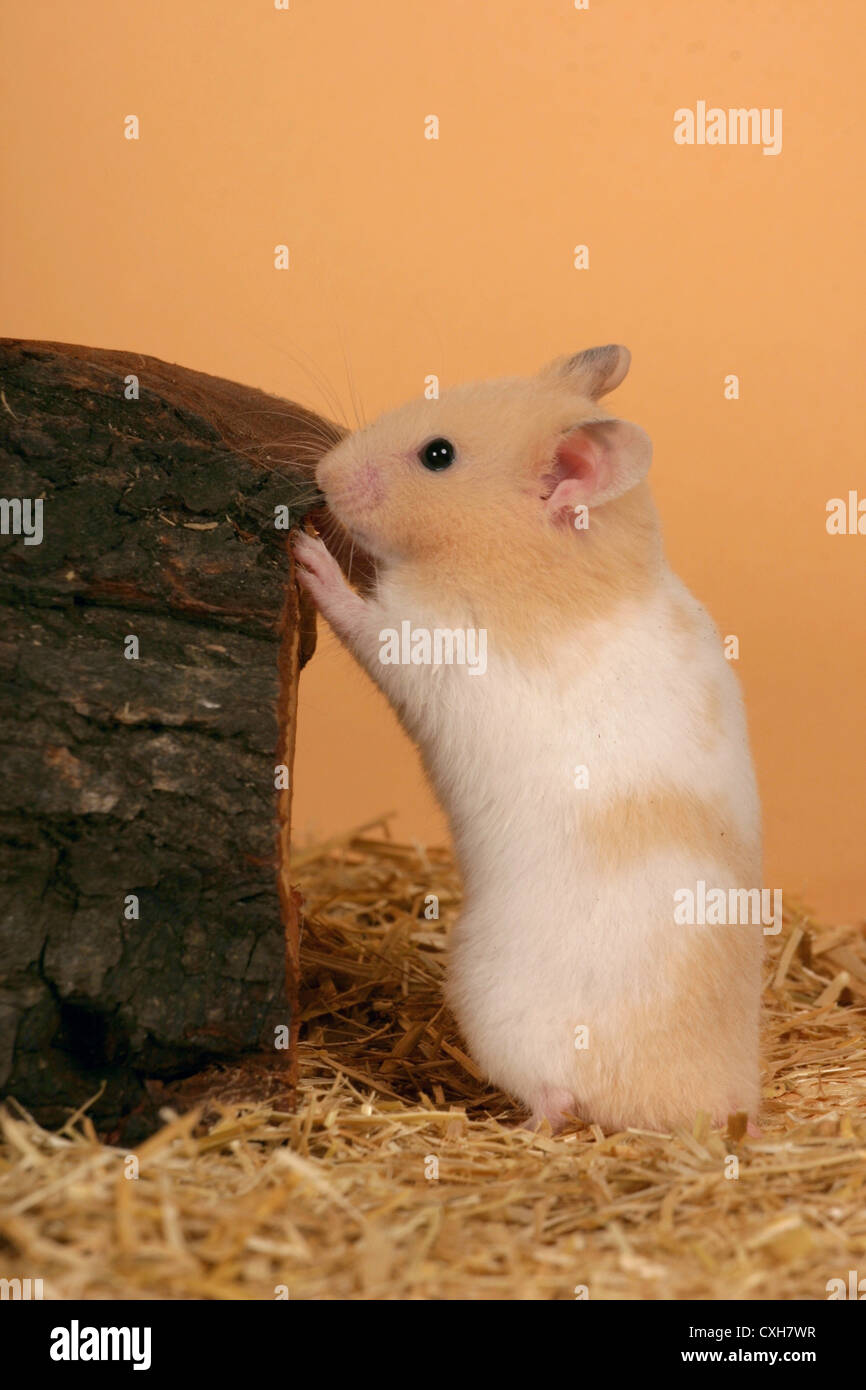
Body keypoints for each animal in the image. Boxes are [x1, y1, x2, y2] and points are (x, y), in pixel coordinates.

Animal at [291, 344, 763, 1134]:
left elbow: (359, 616)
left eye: (438, 455)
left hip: (493, 1005)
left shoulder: (420, 637)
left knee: (557, 1099)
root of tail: (706, 1105)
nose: (322, 478)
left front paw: (306, 553)